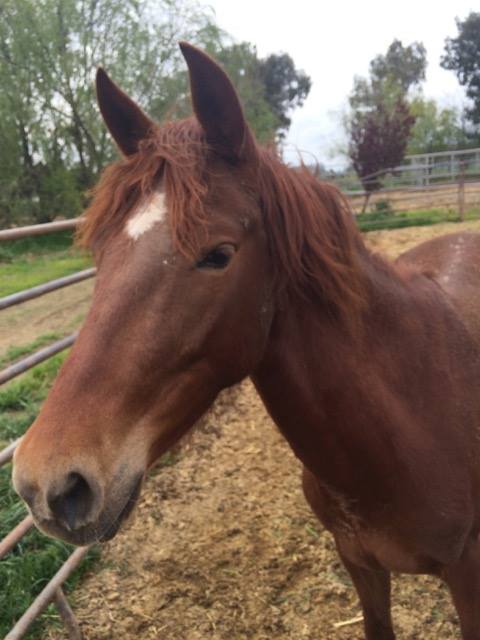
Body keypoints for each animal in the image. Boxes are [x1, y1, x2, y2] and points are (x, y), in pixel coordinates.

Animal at [12, 42, 480, 640]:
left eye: (219, 254)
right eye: (101, 251)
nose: (46, 485)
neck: (414, 419)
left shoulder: (470, 578)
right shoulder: (360, 564)